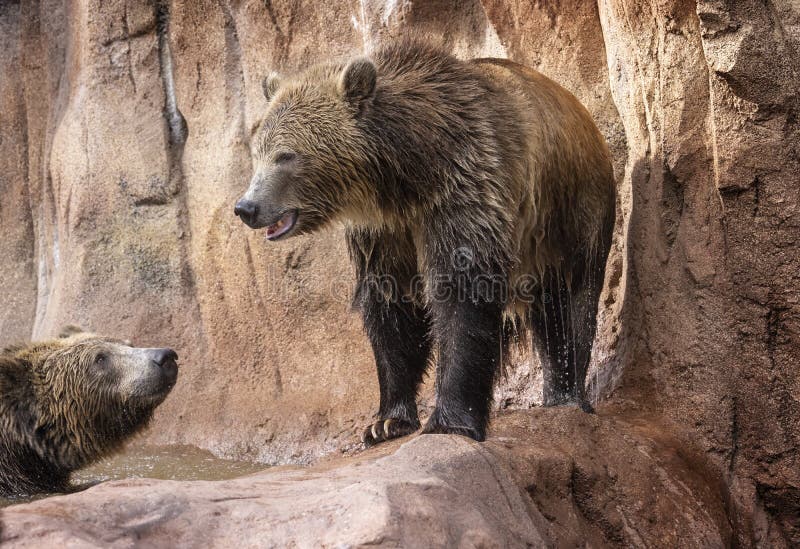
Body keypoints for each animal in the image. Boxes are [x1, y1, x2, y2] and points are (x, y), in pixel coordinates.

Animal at [235, 39, 615, 445]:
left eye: (286, 155)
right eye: (258, 153)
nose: (246, 207)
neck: (404, 179)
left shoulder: (464, 190)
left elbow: (461, 295)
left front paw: (450, 419)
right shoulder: (385, 232)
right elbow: (392, 309)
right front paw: (386, 421)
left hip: (570, 217)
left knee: (570, 308)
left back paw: (568, 396)